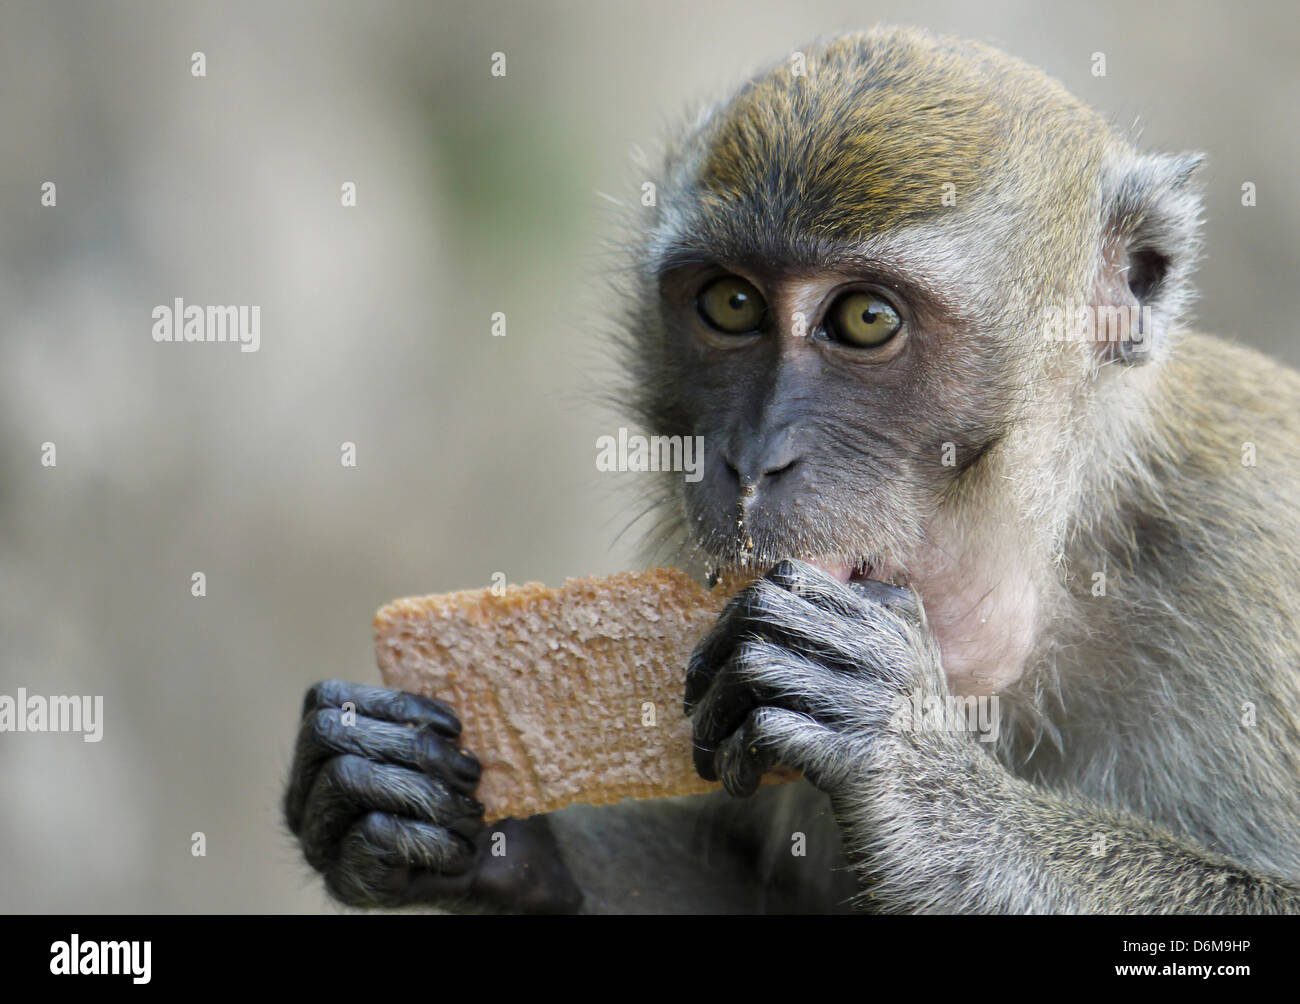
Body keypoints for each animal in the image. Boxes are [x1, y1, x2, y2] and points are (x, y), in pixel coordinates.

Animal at [284, 25, 1300, 913]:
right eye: (731, 303)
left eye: (866, 319)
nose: (752, 458)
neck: (1053, 563)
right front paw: (478, 828)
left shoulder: (1246, 561)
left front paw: (907, 764)